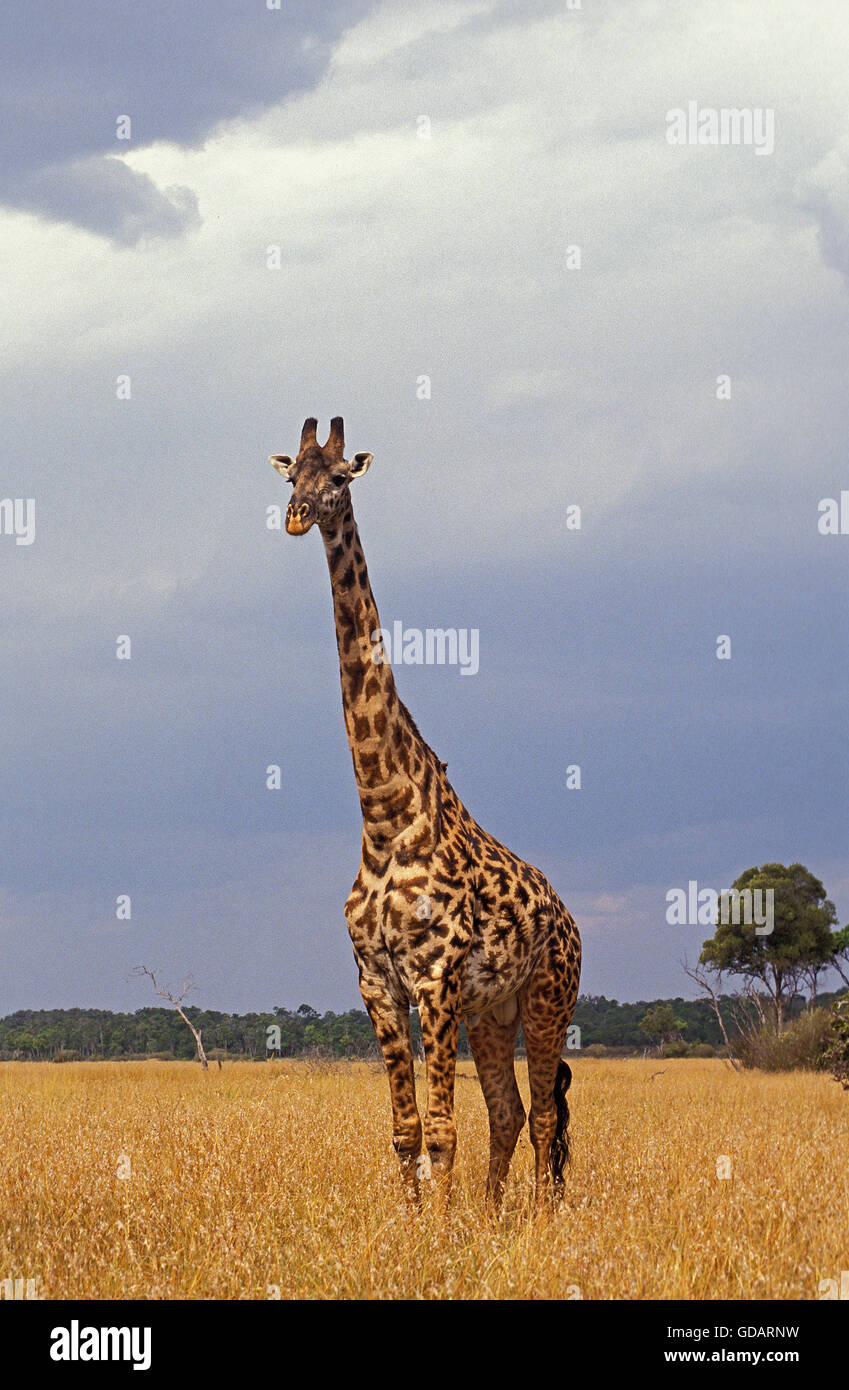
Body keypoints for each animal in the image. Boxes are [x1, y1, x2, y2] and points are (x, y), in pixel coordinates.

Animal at [270, 417, 581, 1210]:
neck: (384, 818)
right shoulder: (379, 984)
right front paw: (417, 1225)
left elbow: (442, 1131)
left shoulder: (436, 977)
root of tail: (569, 919)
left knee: (542, 1114)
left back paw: (537, 1218)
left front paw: (439, 1231)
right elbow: (406, 1131)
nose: (296, 517)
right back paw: (494, 1215)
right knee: (508, 1111)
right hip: (492, 1013)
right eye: (290, 476)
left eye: (339, 477)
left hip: (547, 999)